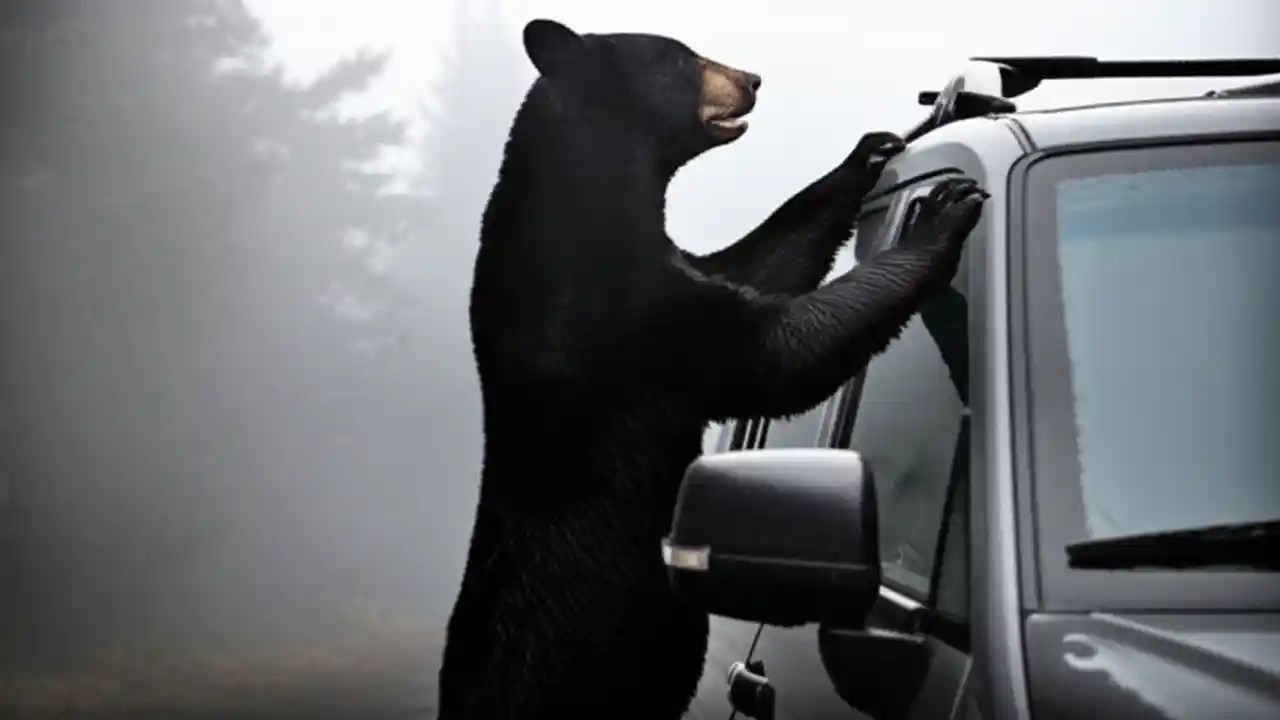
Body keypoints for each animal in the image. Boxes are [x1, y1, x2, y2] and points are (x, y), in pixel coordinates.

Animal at [436, 18, 988, 720]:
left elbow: (761, 261)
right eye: (681, 57)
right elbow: (778, 350)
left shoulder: (671, 266)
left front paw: (870, 151)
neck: (588, 199)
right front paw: (942, 213)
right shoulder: (625, 315)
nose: (753, 78)